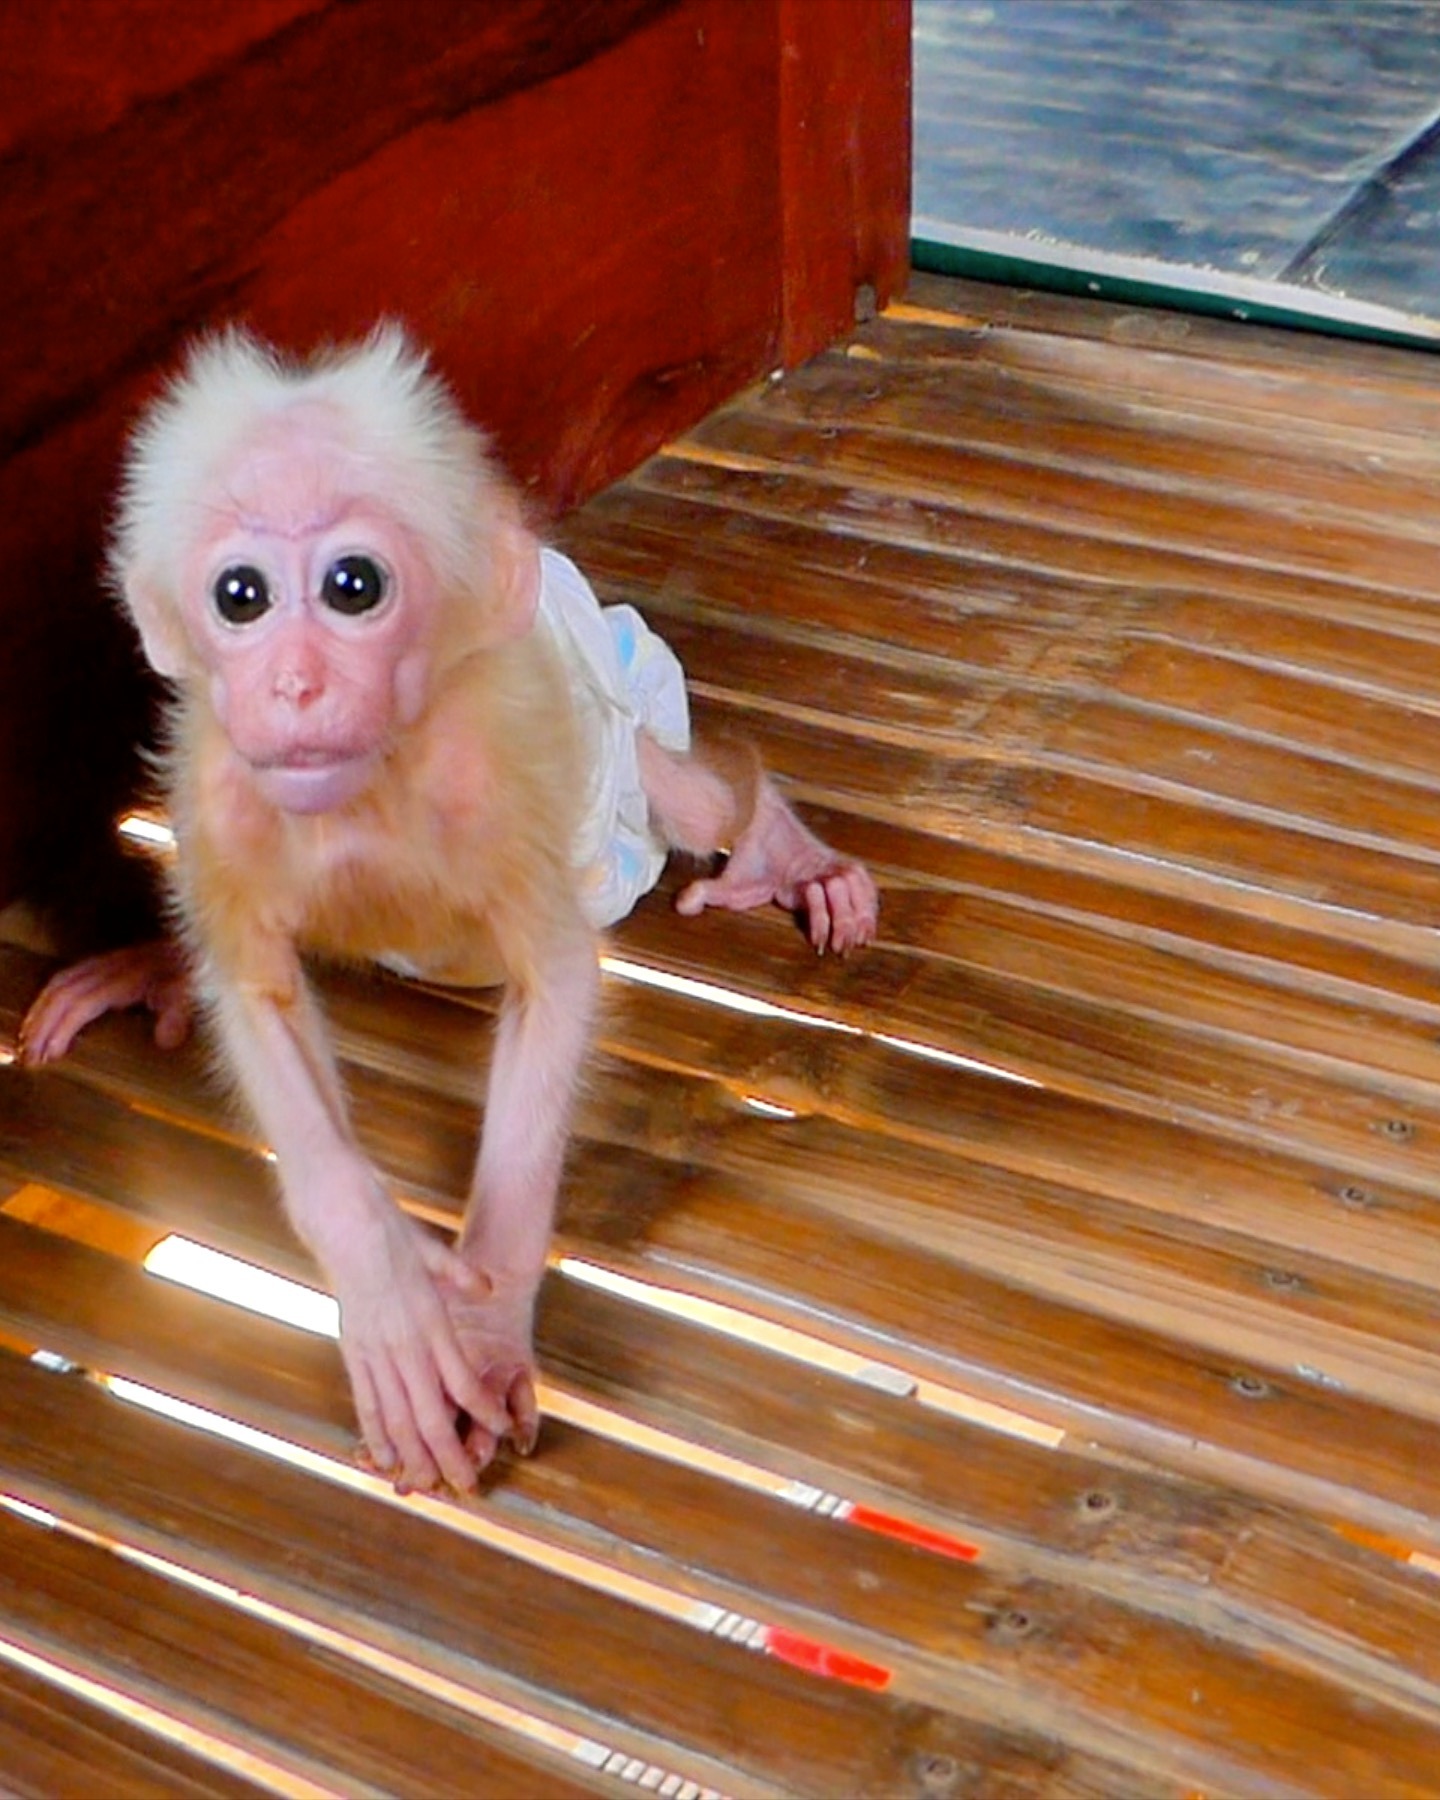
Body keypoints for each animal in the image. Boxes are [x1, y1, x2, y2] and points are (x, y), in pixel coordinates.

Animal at [17, 326, 878, 1494]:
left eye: (352, 585)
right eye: (240, 596)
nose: (294, 684)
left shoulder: (491, 766)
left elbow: (555, 983)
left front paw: (493, 1317)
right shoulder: (222, 789)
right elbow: (258, 996)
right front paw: (385, 1288)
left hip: (614, 731)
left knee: (682, 785)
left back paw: (779, 842)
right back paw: (153, 963)